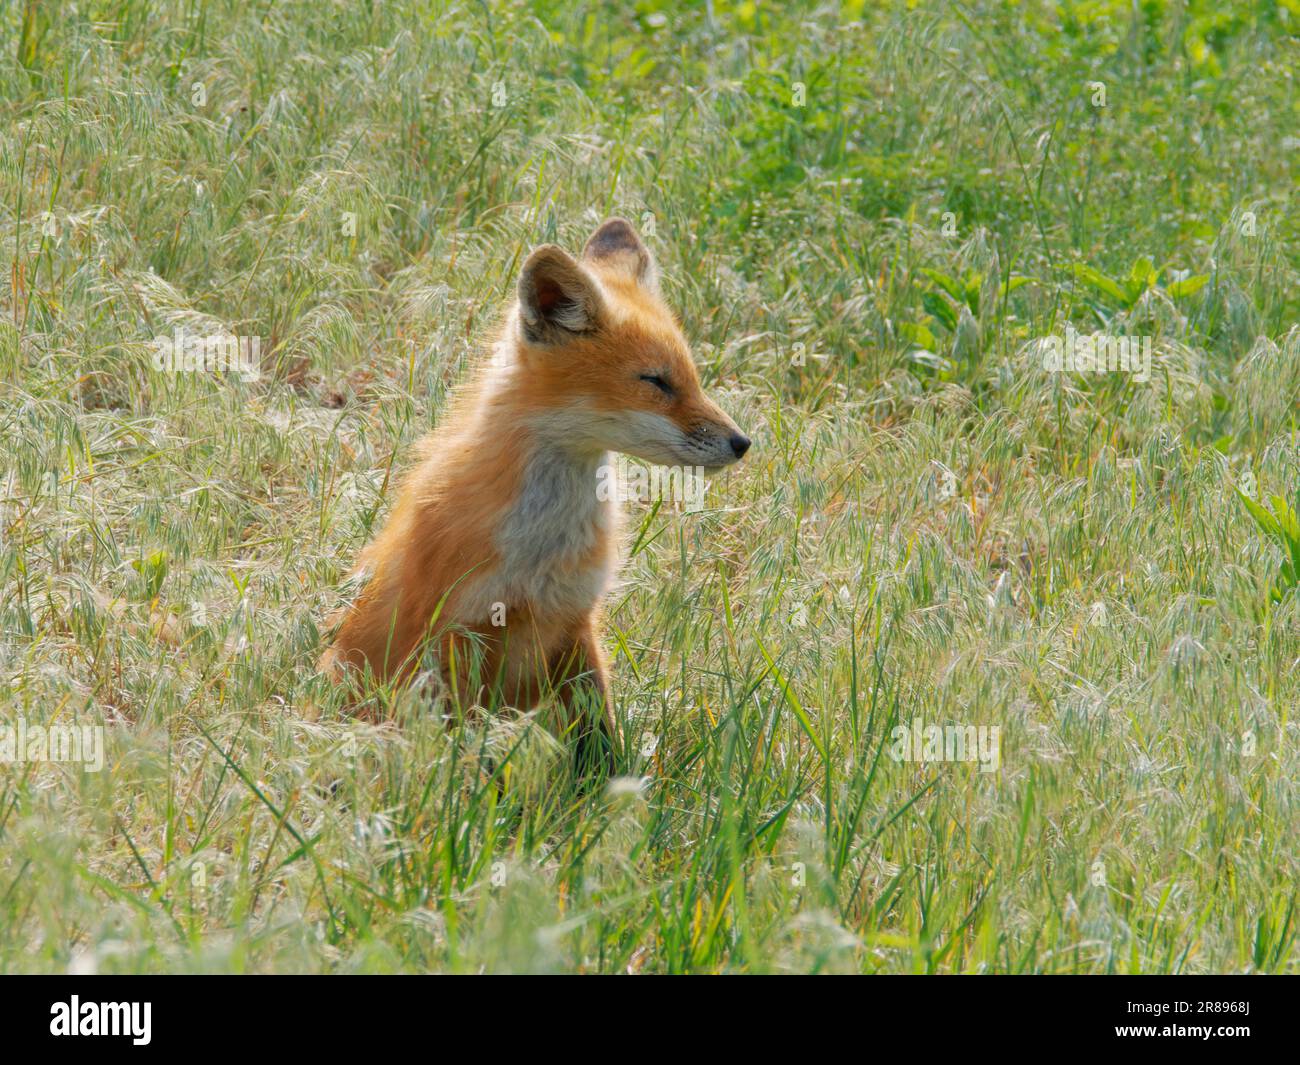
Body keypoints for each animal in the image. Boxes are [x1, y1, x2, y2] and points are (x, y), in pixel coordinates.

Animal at [320, 218, 750, 765]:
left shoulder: (574, 619)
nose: (742, 443)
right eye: (655, 381)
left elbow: (602, 738)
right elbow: (462, 746)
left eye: (693, 378)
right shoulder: (454, 631)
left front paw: (613, 785)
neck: (541, 549)